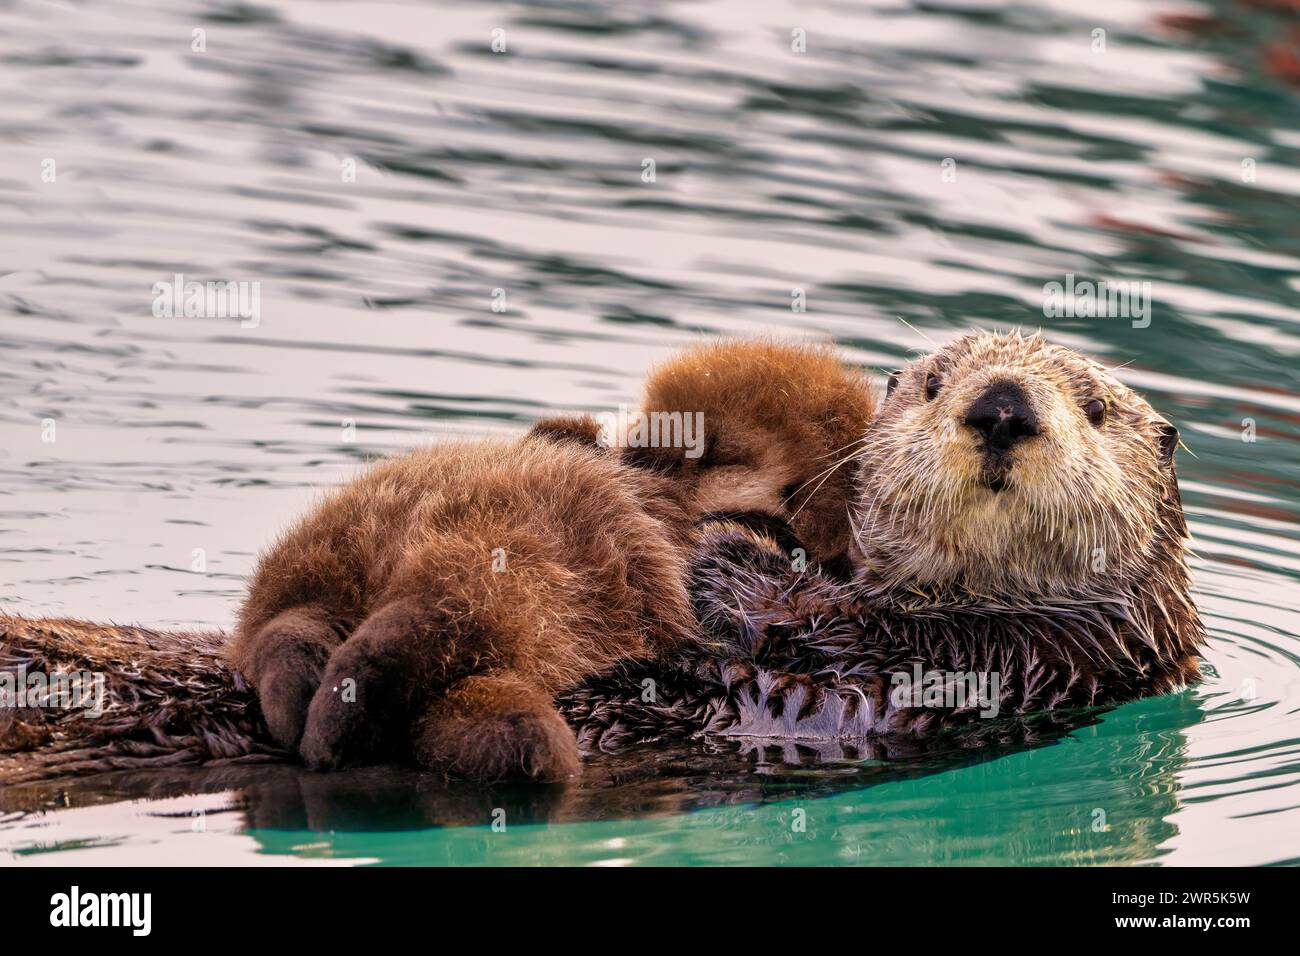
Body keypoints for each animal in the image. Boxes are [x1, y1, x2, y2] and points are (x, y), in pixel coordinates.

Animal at [229, 340, 875, 781]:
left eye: (712, 454)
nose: (634, 454)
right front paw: (576, 437)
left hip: (504, 580)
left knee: (422, 629)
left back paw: (322, 712)